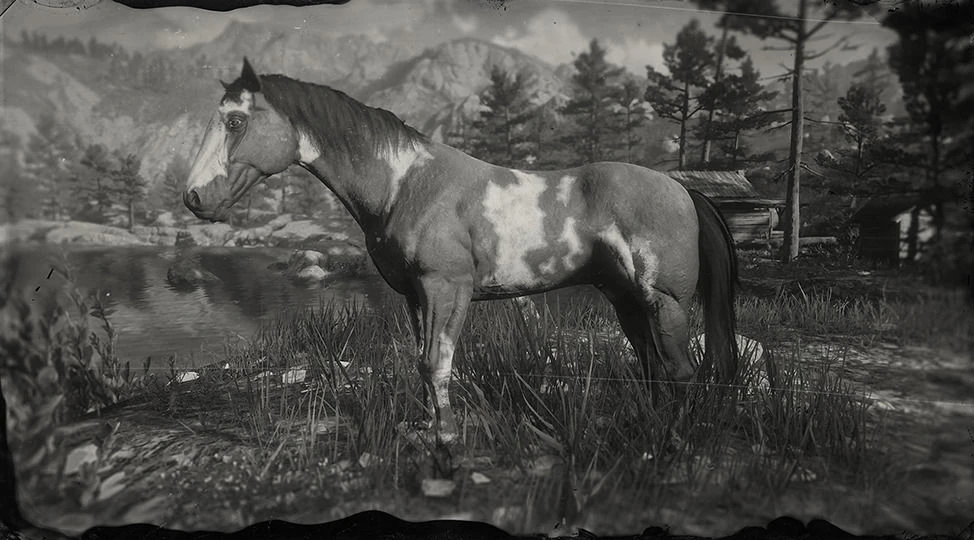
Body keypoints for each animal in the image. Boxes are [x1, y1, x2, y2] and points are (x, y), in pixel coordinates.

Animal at [183, 58, 740, 450]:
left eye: (235, 122)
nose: (193, 198)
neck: (406, 183)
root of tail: (681, 188)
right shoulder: (415, 295)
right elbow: (421, 362)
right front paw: (427, 429)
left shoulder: (446, 288)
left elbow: (438, 362)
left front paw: (446, 440)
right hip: (626, 300)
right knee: (651, 364)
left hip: (663, 301)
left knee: (680, 370)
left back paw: (673, 439)